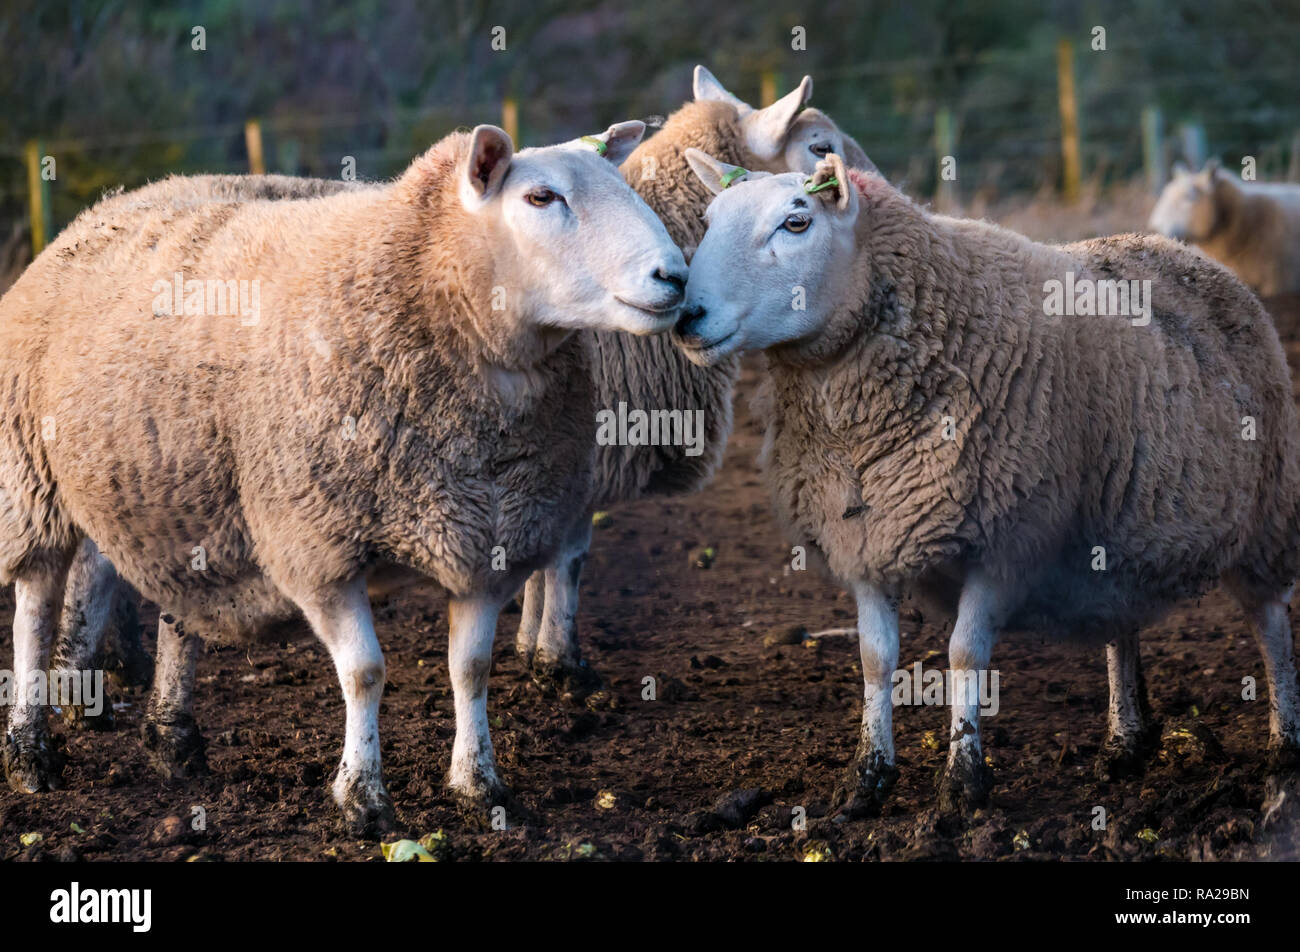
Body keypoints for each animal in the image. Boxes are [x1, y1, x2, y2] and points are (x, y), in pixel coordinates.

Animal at [0, 122, 689, 834]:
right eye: (541, 197)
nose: (675, 276)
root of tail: (108, 207)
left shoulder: (489, 541)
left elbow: (471, 669)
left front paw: (479, 786)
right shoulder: (318, 546)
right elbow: (364, 673)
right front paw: (362, 797)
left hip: (184, 497)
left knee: (178, 610)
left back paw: (174, 739)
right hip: (33, 474)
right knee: (35, 607)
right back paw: (30, 753)